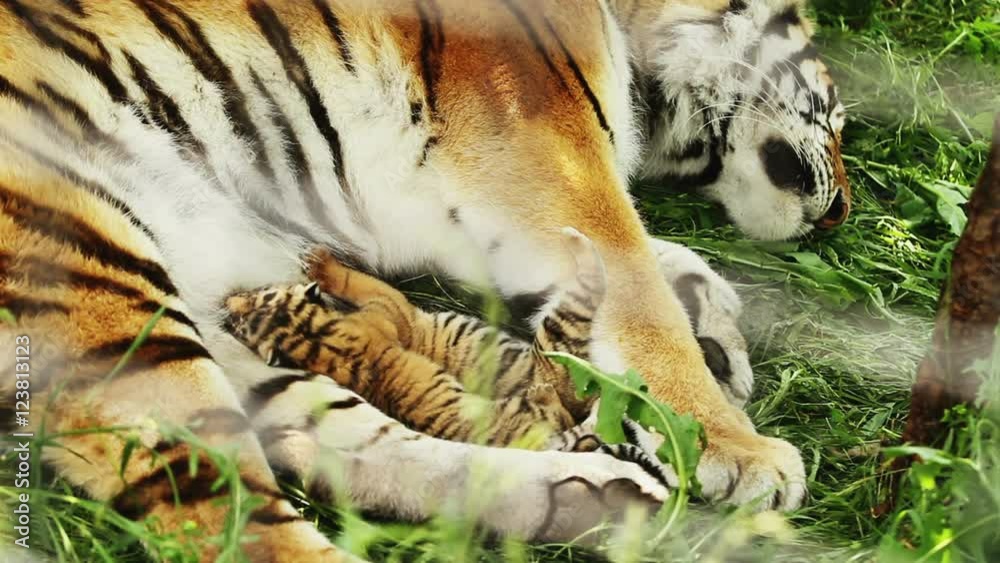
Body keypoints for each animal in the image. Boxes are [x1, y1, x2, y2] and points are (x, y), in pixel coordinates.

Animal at [224, 227, 605, 446]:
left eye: (257, 296)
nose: (226, 304)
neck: (317, 341)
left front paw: (315, 260)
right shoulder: (390, 305)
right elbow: (355, 280)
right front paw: (319, 260)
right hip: (558, 342)